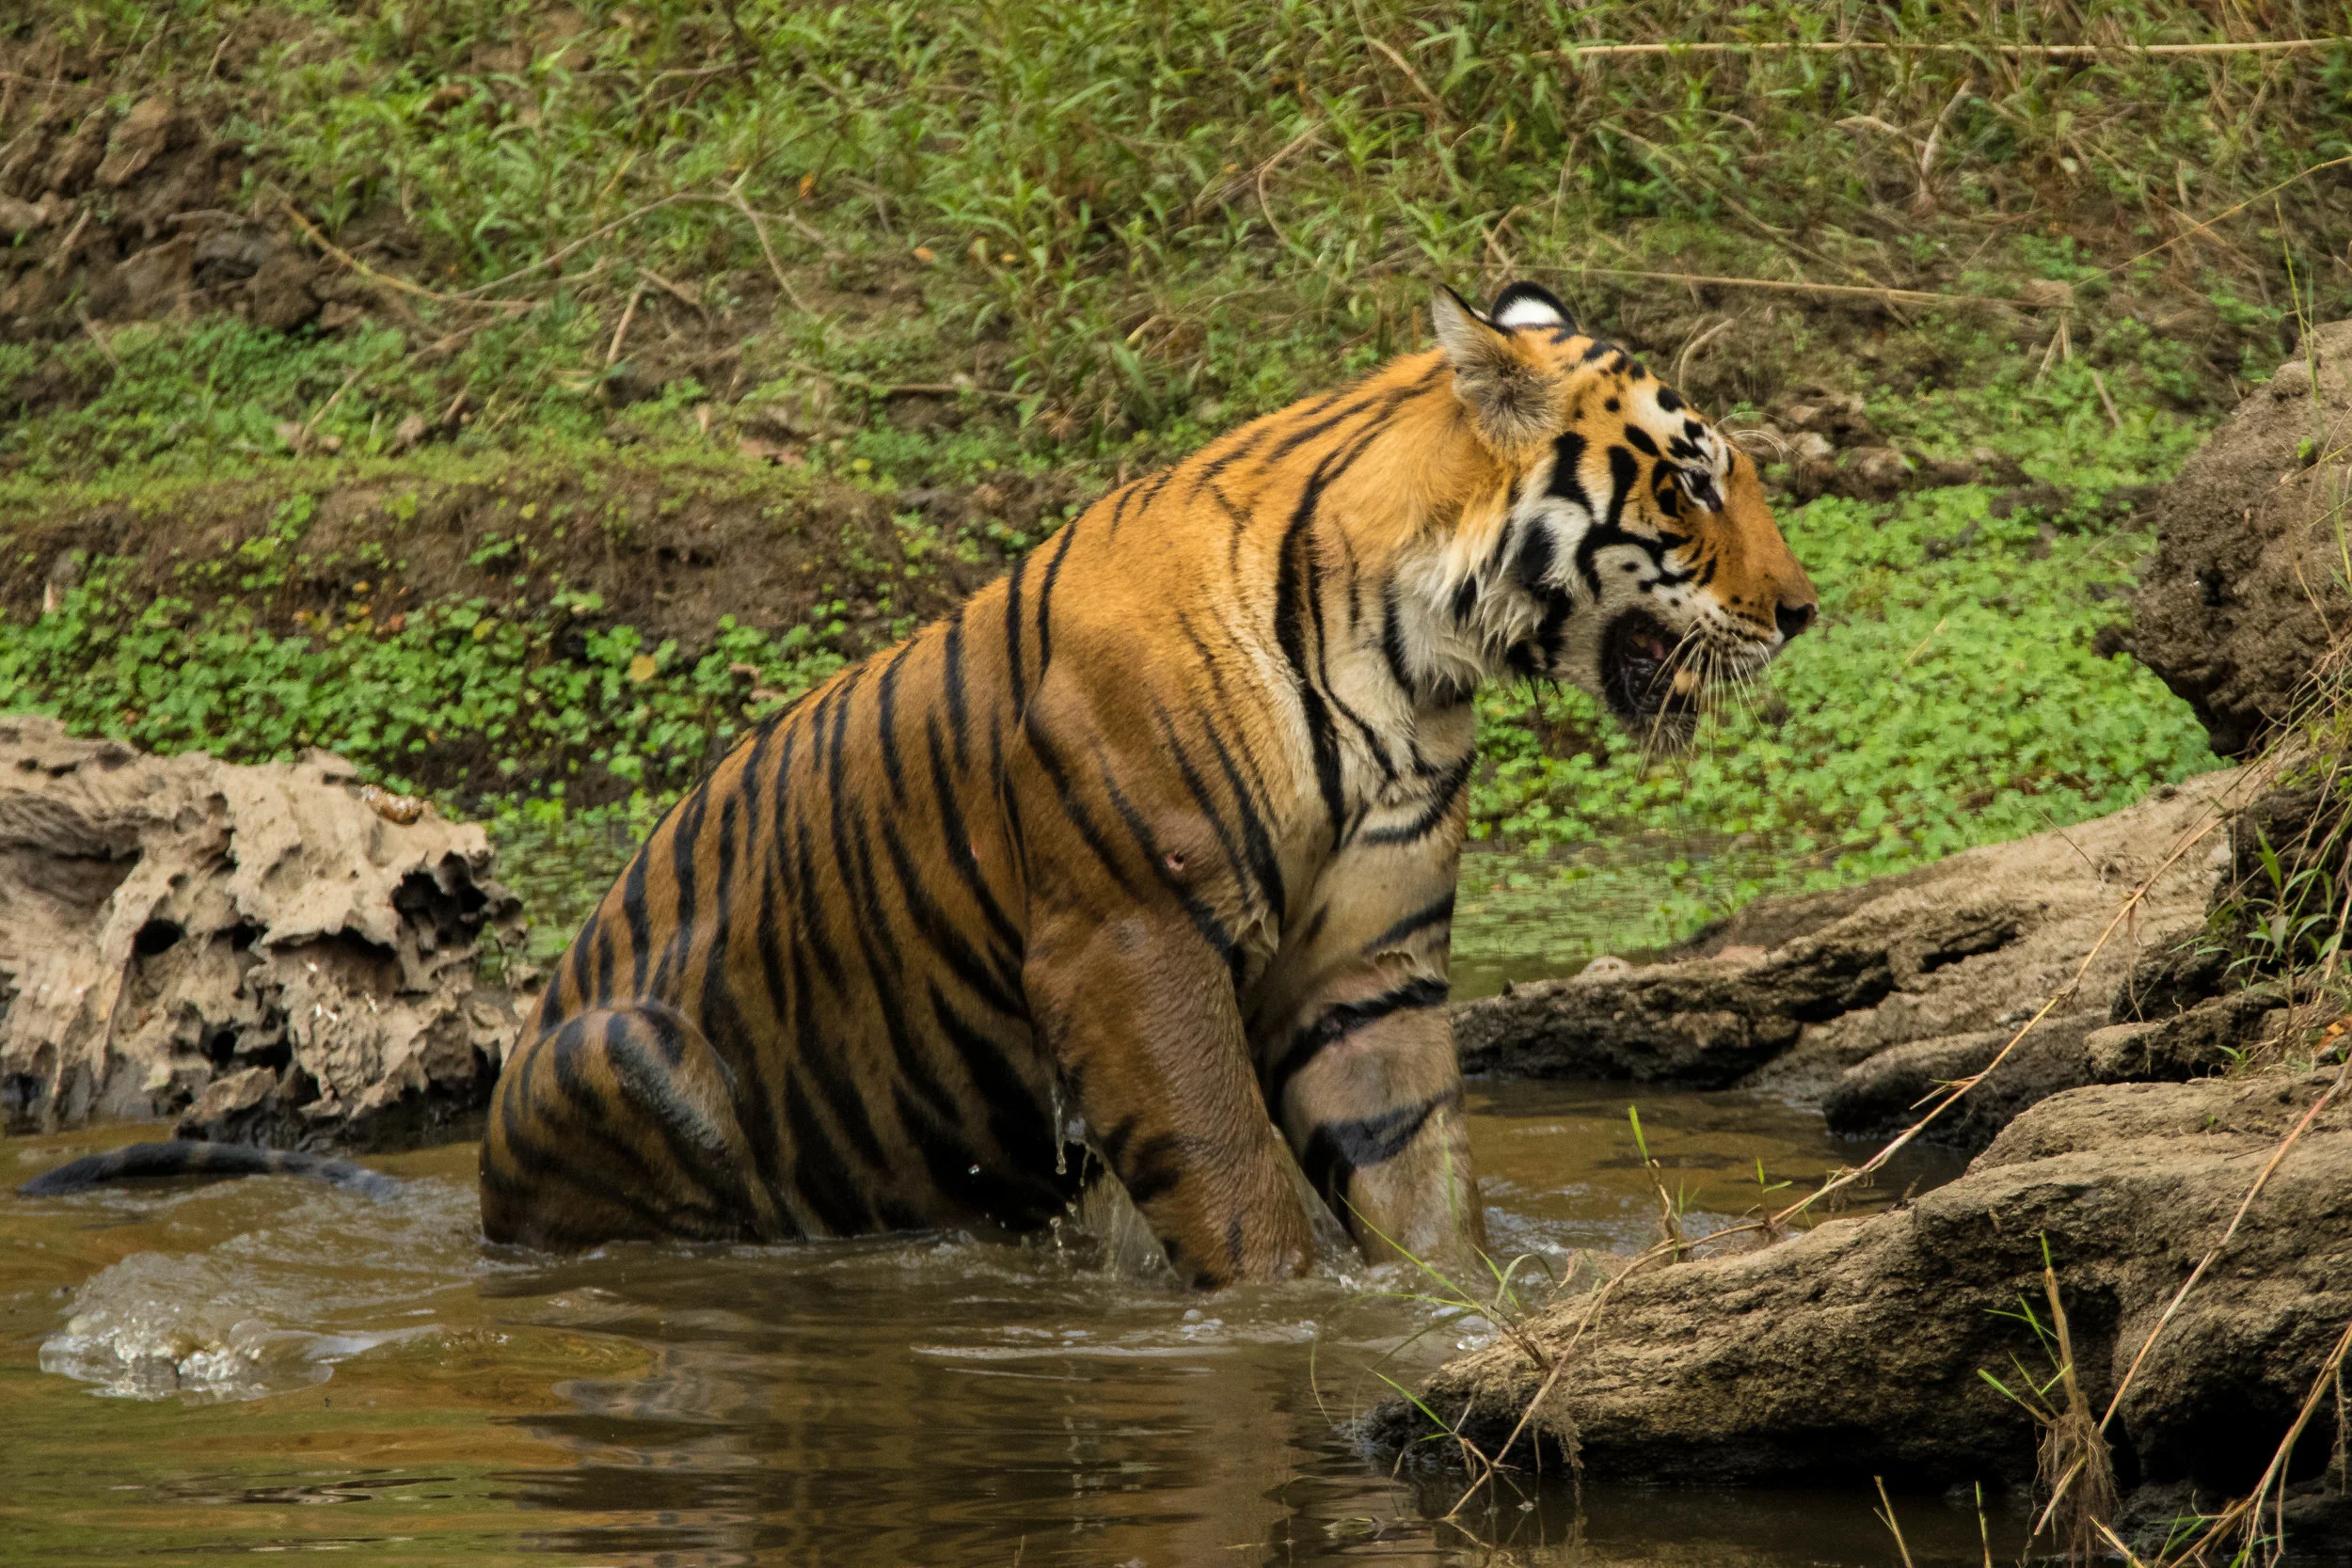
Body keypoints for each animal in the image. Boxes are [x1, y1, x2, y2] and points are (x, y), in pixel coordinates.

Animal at [20, 282, 1815, 1290]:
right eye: (1694, 480)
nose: (1803, 611)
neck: (1415, 649)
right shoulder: (1128, 936)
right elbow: (1243, 1186)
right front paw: (1298, 1325)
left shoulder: (1368, 960)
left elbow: (1417, 1172)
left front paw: (1463, 1318)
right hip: (635, 1056)